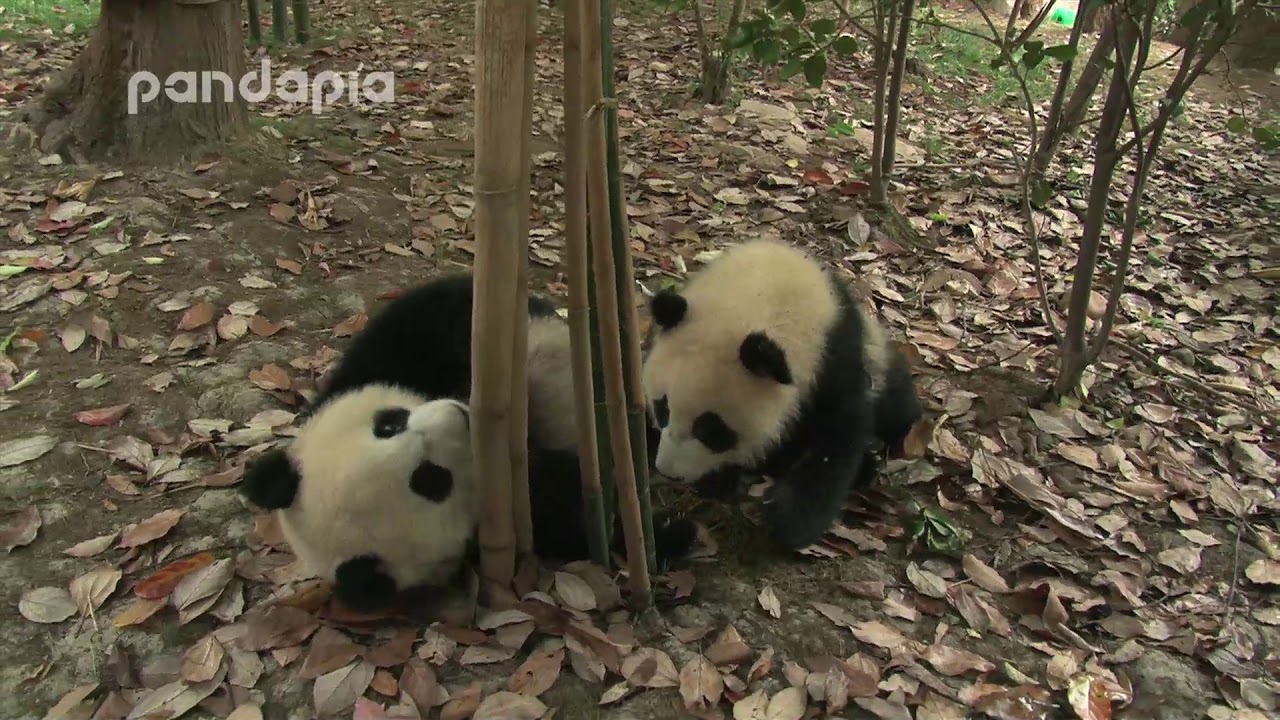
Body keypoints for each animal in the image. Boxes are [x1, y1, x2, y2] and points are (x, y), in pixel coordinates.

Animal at [240, 271, 697, 613]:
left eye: (388, 425)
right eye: (431, 479)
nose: (459, 416)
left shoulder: (379, 358)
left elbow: (443, 307)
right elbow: (571, 519)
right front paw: (669, 528)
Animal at [640, 239, 923, 551]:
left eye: (710, 429)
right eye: (663, 408)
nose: (668, 470)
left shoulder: (833, 359)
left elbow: (836, 439)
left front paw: (791, 522)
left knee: (895, 405)